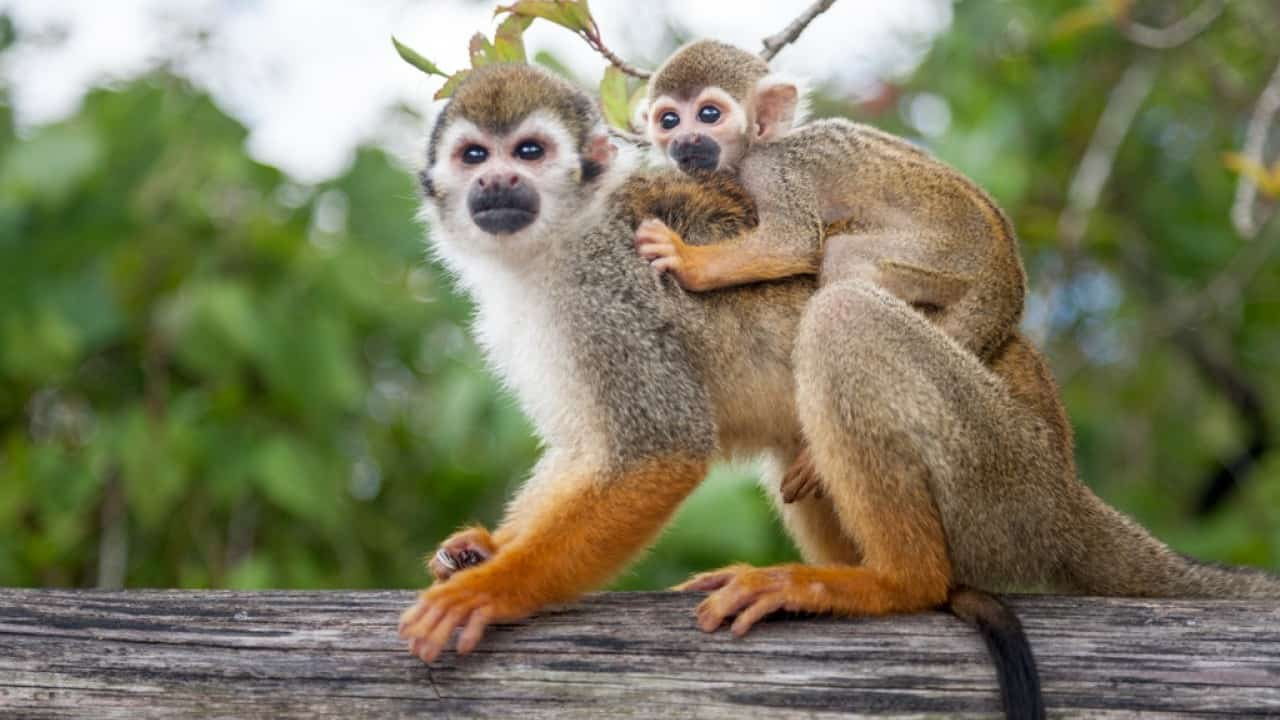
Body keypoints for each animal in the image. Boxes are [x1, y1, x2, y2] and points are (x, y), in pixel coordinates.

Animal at [398, 62, 1280, 718]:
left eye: (530, 152)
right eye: (476, 157)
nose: (497, 187)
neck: (552, 245)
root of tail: (1066, 491)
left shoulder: (604, 290)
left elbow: (657, 451)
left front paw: (491, 590)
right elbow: (588, 447)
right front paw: (482, 549)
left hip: (999, 482)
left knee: (845, 316)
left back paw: (891, 583)